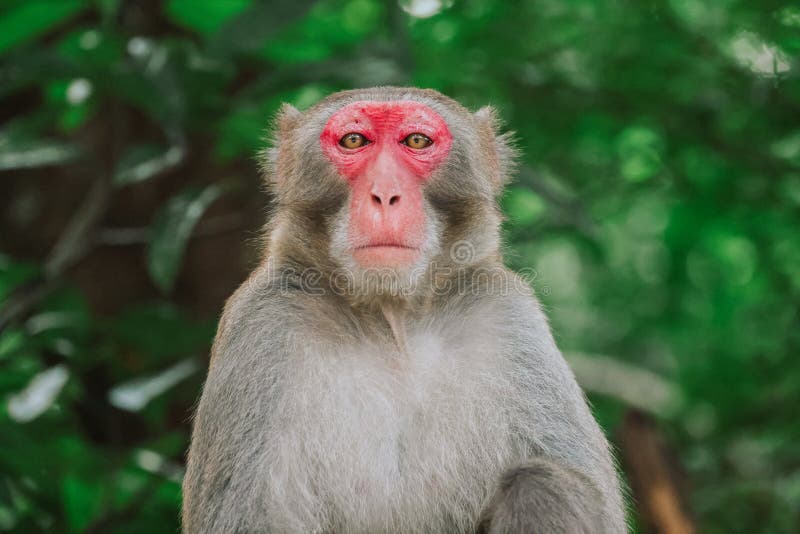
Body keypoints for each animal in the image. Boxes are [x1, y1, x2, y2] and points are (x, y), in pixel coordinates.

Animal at [181, 87, 626, 533]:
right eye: (353, 141)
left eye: (416, 141)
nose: (385, 194)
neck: (393, 321)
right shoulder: (264, 323)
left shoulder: (507, 317)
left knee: (542, 484)